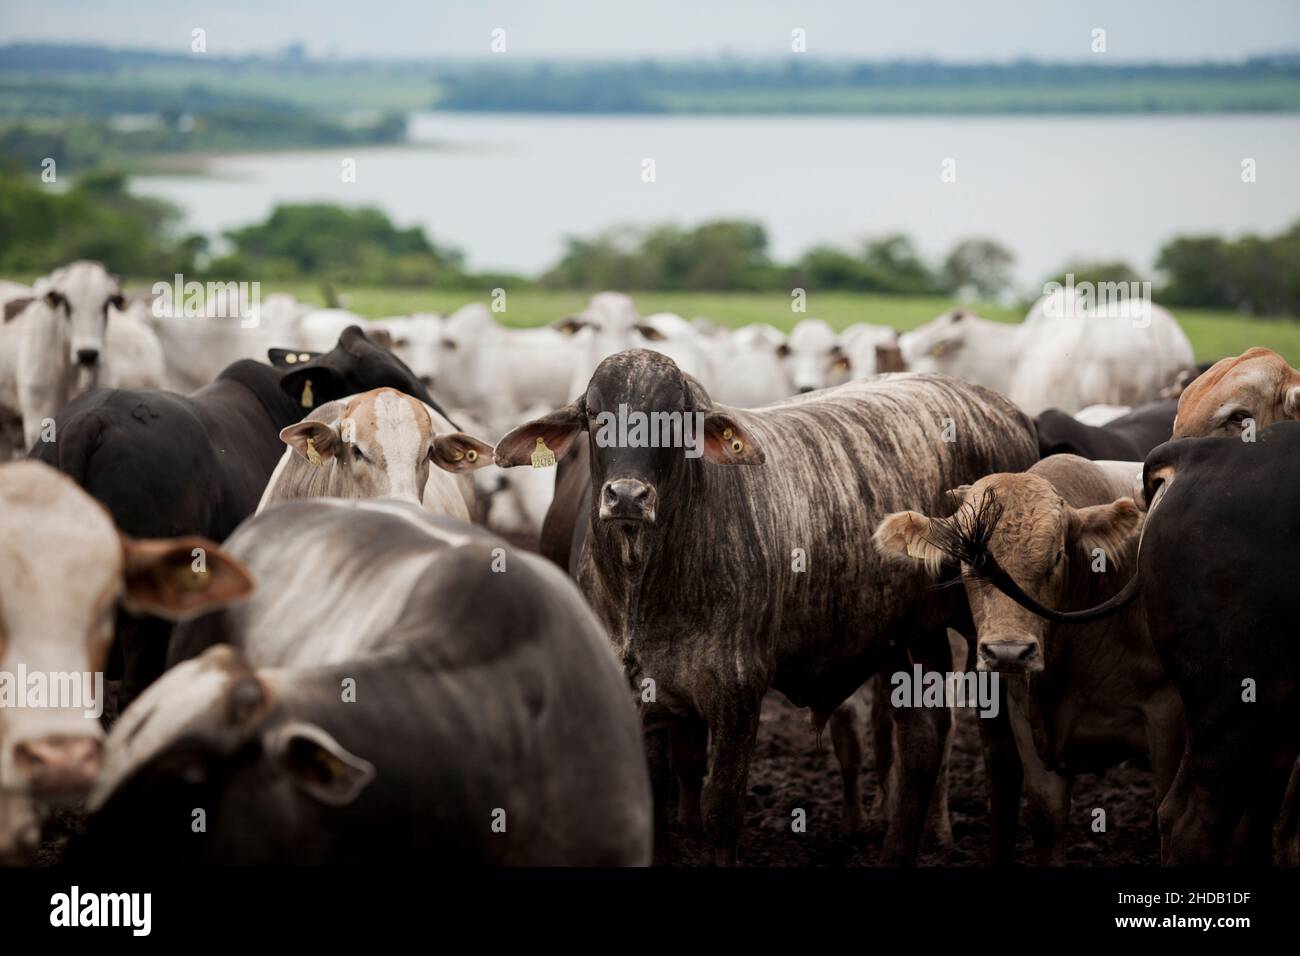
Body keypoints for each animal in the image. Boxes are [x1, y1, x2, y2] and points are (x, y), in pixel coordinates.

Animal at [495, 350, 1039, 864]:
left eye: (677, 417)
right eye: (594, 413)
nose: (627, 496)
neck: (643, 590)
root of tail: (1007, 410)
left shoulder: (737, 694)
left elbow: (721, 814)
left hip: (989, 638)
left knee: (1000, 752)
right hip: (912, 635)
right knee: (923, 738)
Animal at [941, 422, 1300, 864]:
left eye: (1057, 556)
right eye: (967, 558)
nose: (1008, 652)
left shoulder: (1167, 715)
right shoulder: (1022, 716)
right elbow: (1048, 820)